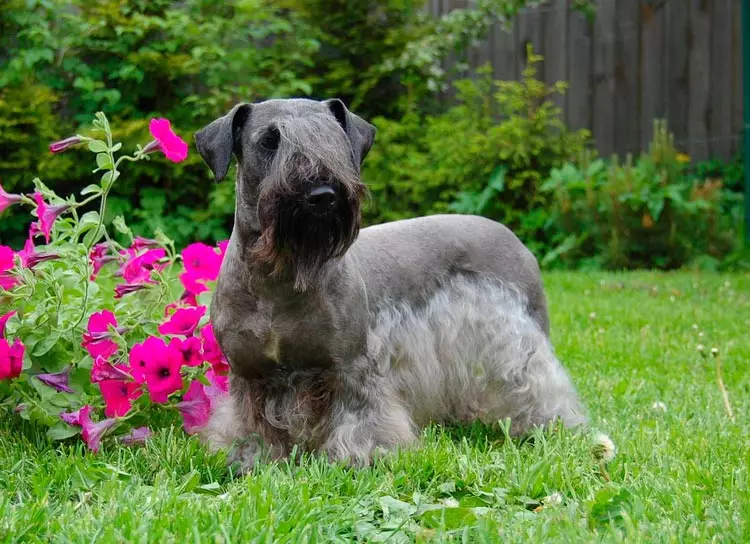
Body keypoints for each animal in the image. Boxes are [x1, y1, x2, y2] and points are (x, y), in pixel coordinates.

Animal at [192, 99, 588, 472]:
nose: (322, 194)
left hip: (517, 346)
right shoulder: (250, 374)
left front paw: (359, 458)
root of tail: (515, 240)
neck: (279, 279)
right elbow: (251, 424)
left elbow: (360, 419)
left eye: (334, 140)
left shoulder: (351, 367)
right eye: (269, 141)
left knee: (540, 387)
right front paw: (251, 459)